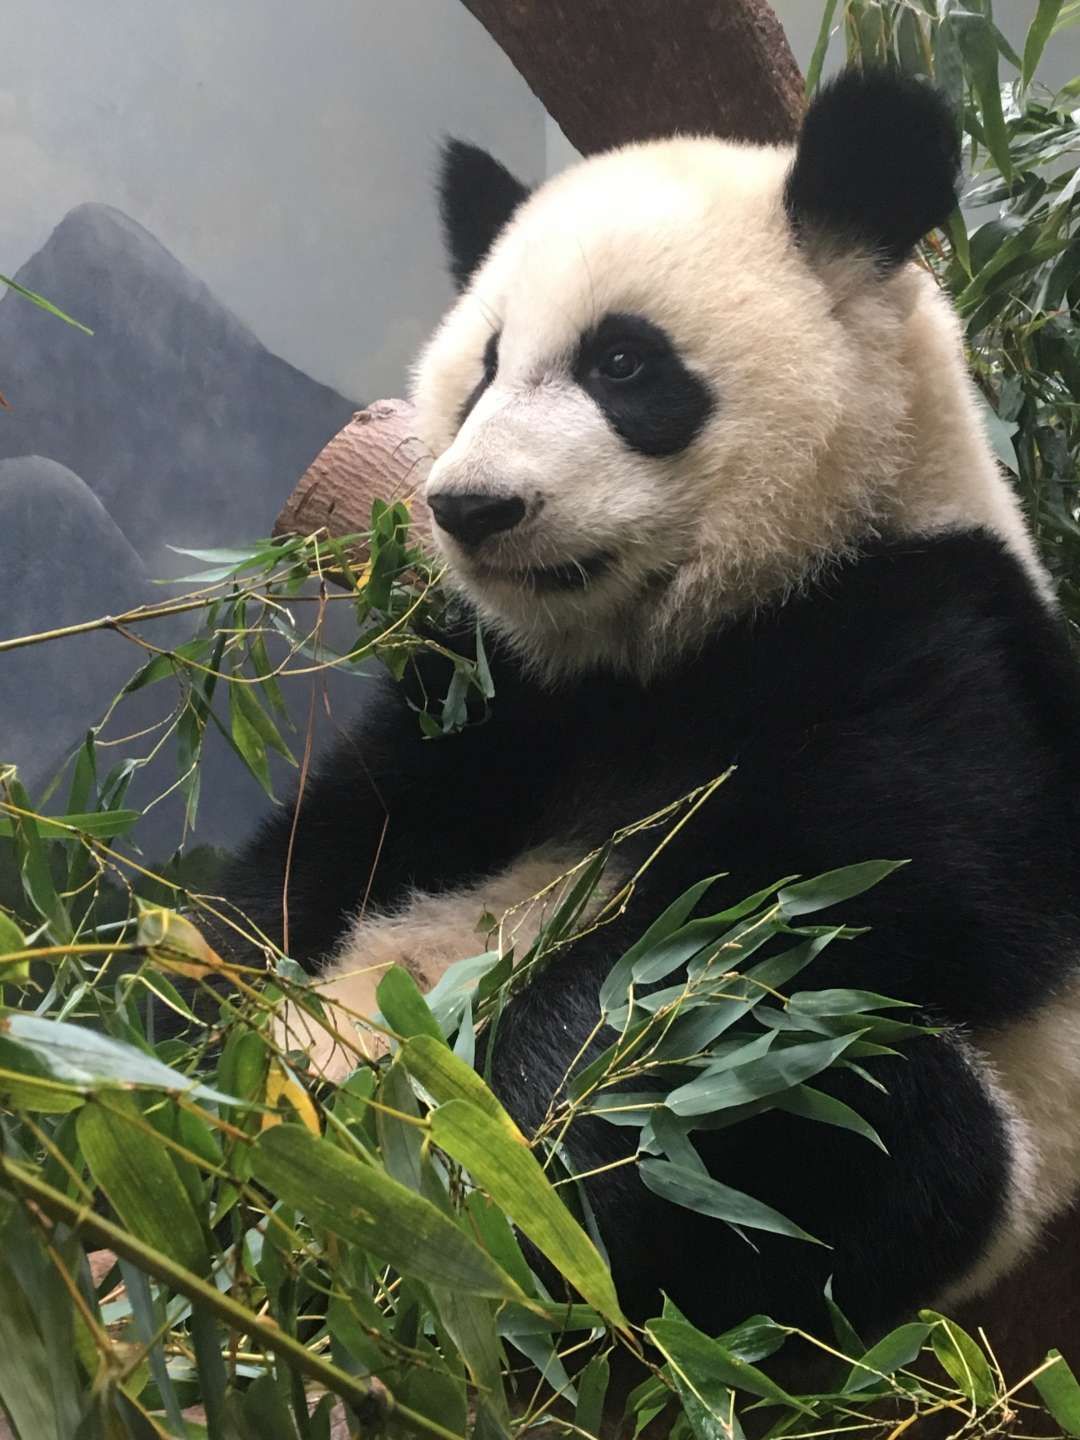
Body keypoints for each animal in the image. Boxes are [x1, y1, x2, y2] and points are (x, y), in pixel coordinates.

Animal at [223, 68, 1080, 1341]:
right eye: (483, 366)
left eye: (622, 364)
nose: (475, 507)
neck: (668, 641)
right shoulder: (502, 697)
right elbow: (325, 848)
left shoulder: (928, 637)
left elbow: (866, 899)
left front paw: (487, 1116)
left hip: (944, 1140)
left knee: (831, 1107)